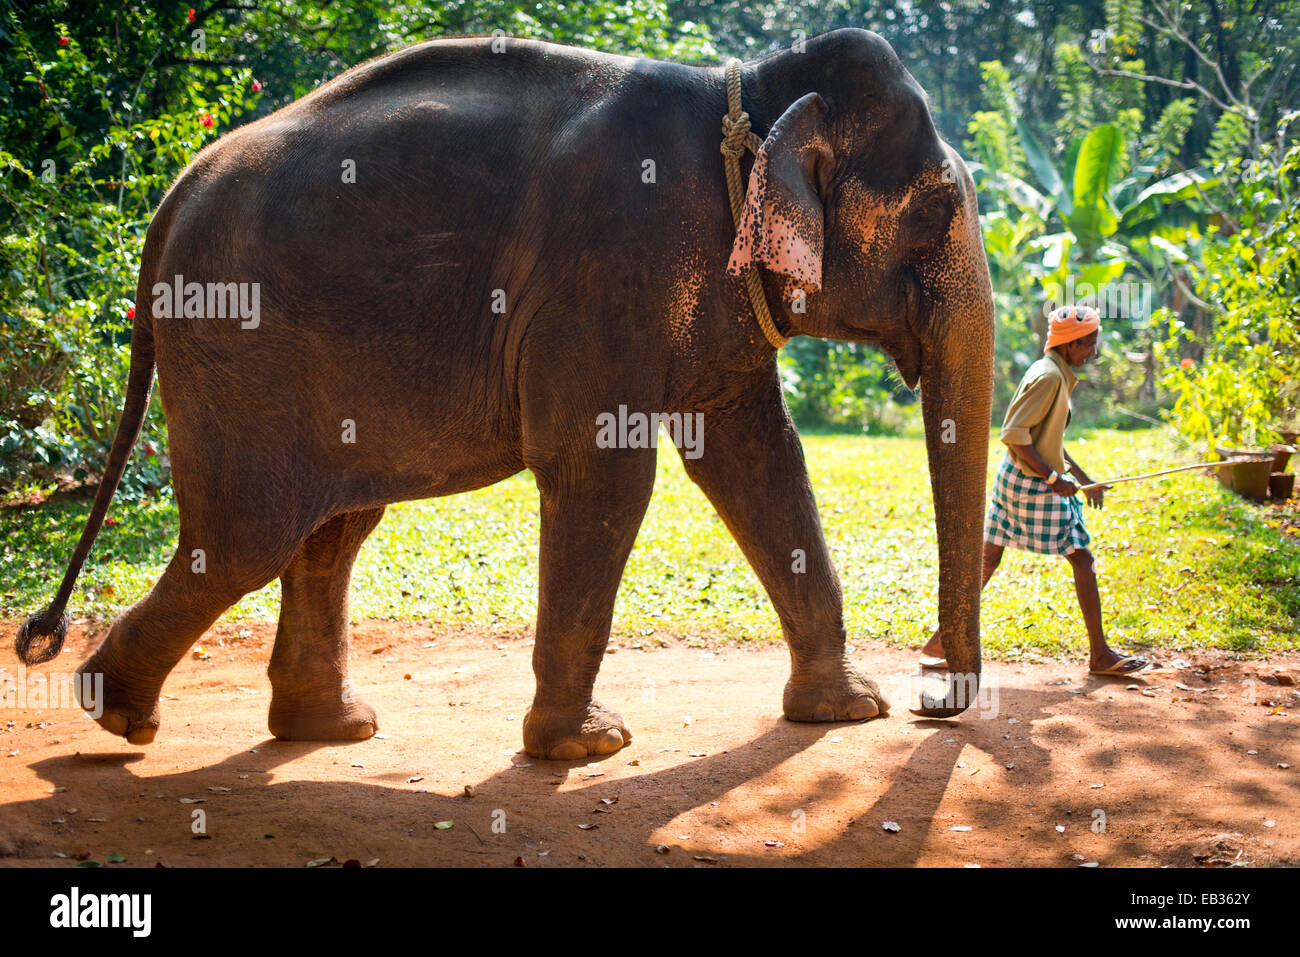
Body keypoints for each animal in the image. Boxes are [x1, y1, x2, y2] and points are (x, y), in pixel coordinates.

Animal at [16, 28, 994, 759]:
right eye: (936, 208)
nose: (932, 696)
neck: (751, 88)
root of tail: (170, 199)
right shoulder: (612, 262)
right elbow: (604, 470)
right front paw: (586, 747)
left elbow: (759, 458)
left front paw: (847, 711)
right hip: (237, 344)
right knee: (246, 538)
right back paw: (120, 713)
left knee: (330, 529)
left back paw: (329, 728)